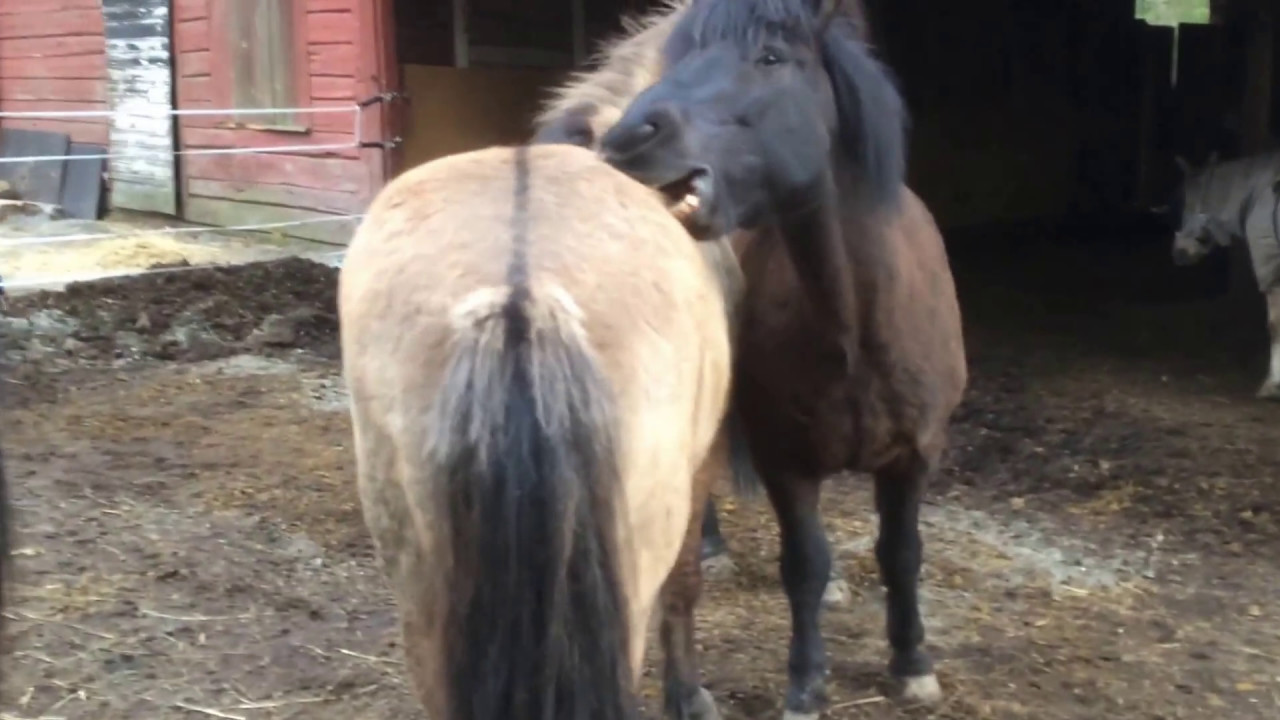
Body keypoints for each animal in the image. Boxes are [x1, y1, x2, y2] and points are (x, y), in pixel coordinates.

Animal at [537, 0, 968, 715]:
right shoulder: (783, 457)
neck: (858, 322)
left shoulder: (915, 454)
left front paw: (912, 663)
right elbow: (803, 564)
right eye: (681, 59)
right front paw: (806, 684)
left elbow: (901, 552)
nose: (628, 139)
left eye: (770, 58)